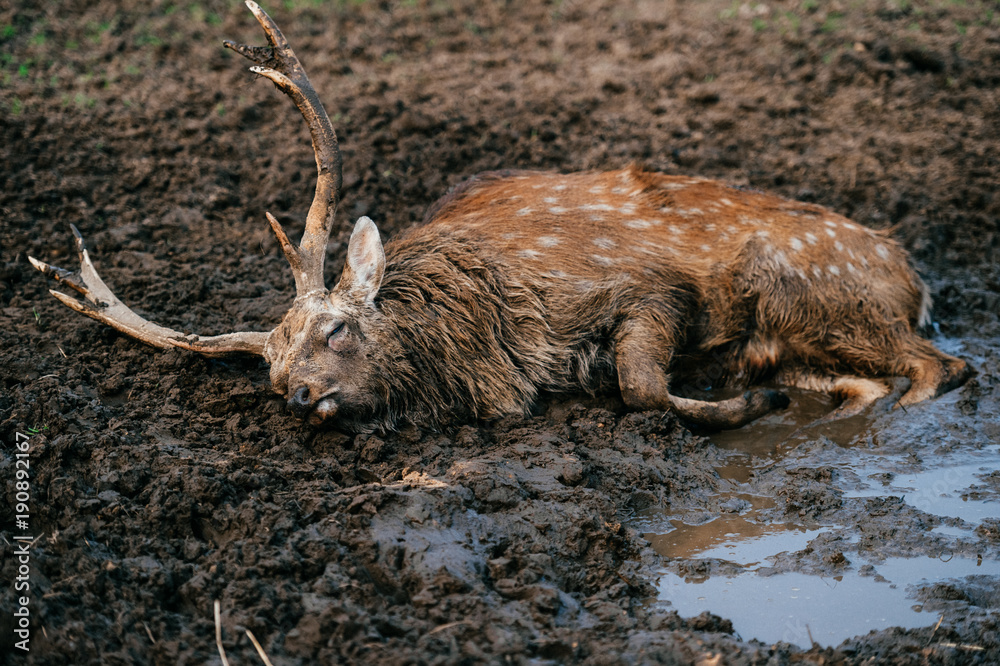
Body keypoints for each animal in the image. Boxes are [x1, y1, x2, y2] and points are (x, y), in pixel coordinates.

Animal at [30, 1, 970, 434]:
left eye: (338, 328)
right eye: (268, 369)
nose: (298, 396)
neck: (491, 336)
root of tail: (914, 278)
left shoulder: (644, 287)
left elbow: (640, 386)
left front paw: (744, 403)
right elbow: (640, 388)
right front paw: (753, 397)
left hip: (808, 284)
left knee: (942, 367)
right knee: (886, 375)